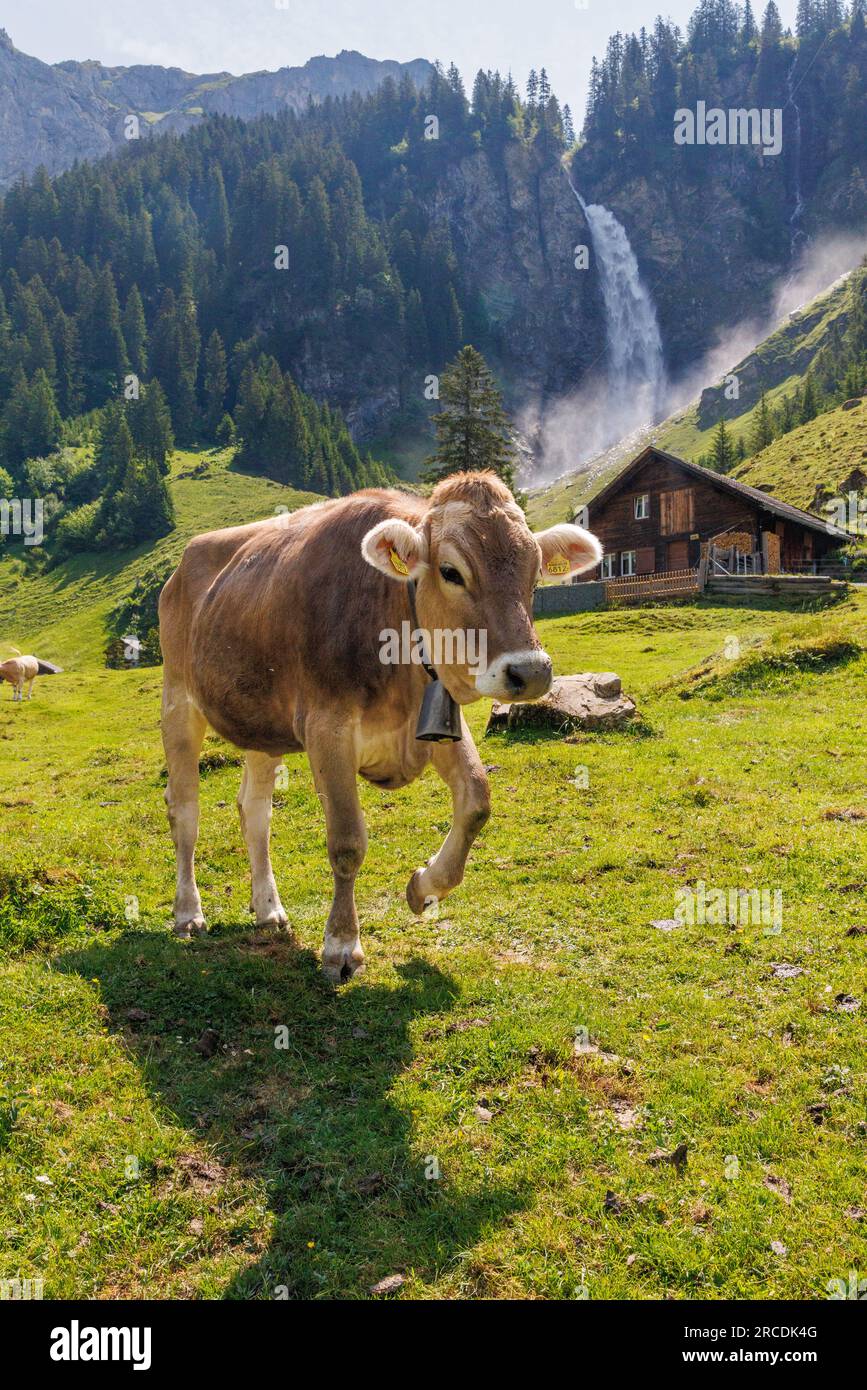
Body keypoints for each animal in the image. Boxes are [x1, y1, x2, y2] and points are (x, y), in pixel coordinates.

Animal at [158, 470, 602, 981]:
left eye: (534, 573)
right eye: (451, 571)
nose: (529, 672)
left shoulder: (434, 718)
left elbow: (476, 802)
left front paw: (424, 887)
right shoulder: (326, 728)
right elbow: (348, 841)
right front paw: (341, 946)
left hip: (260, 722)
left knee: (255, 813)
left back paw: (268, 909)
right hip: (178, 701)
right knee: (185, 810)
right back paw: (188, 913)